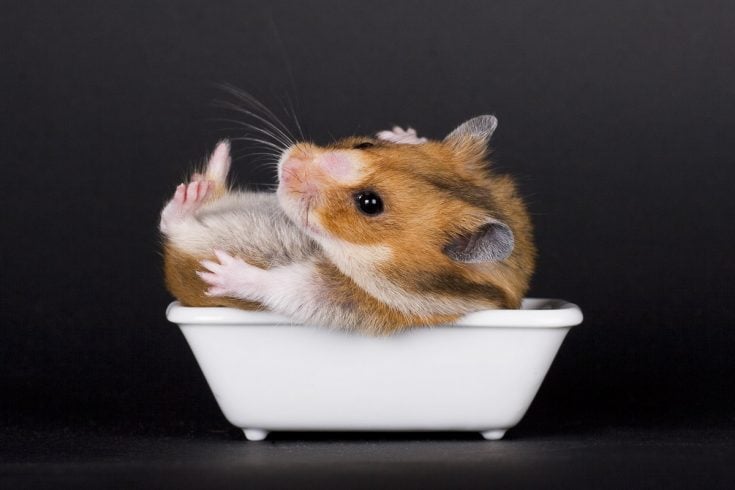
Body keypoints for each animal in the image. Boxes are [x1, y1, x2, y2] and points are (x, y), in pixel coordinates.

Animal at [159, 115, 535, 335]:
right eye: (364, 144)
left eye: (369, 203)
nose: (289, 164)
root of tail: (173, 260)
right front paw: (403, 134)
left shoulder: (353, 300)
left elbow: (285, 287)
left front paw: (220, 271)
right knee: (174, 216)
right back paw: (207, 175)